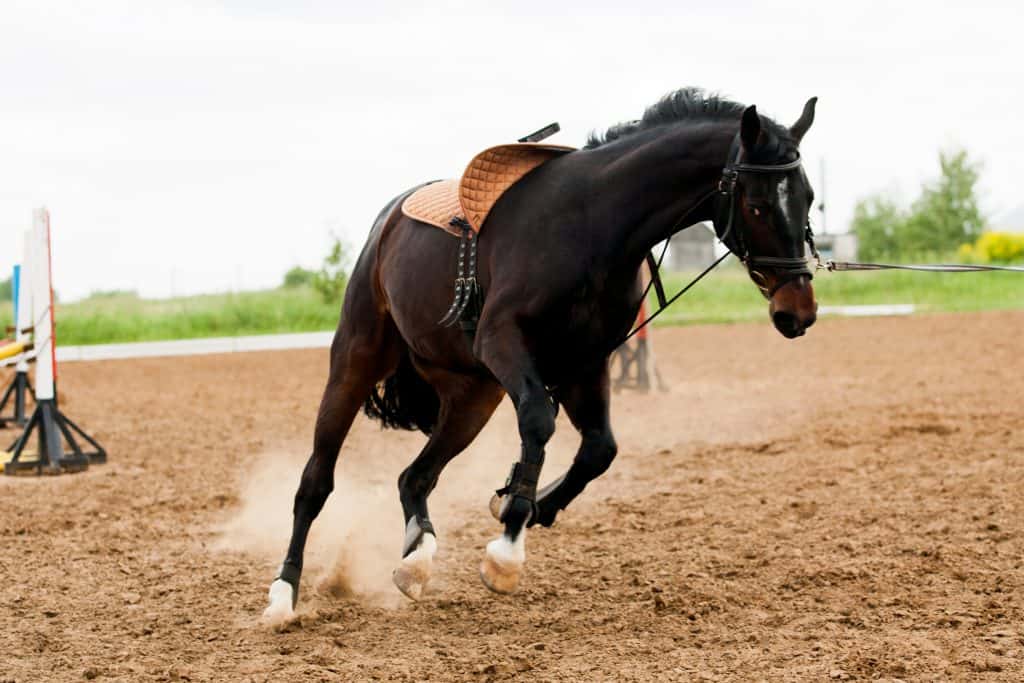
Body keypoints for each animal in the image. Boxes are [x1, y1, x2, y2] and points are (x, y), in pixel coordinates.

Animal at [263, 87, 819, 621]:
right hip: (355, 361)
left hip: (472, 397)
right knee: (316, 481)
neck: (593, 226)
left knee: (414, 477)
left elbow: (599, 449)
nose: (799, 311)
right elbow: (537, 422)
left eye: (809, 198)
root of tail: (386, 224)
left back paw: (416, 560)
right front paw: (507, 549)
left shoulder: (586, 364)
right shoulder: (503, 341)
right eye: (758, 205)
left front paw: (528, 504)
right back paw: (283, 595)